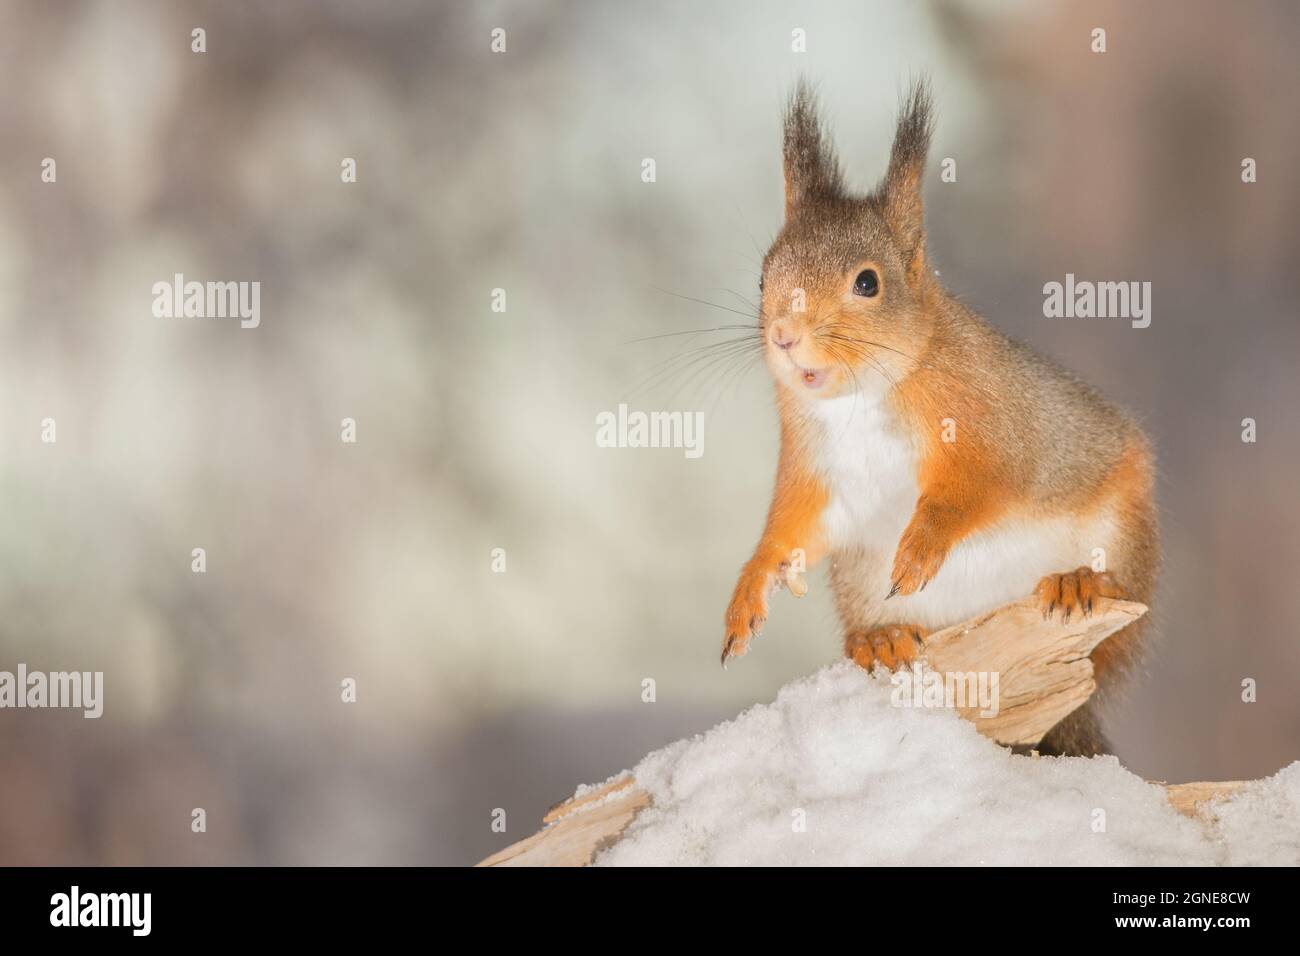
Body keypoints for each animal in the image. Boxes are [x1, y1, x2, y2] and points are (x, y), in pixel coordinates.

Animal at [720, 79, 1158, 757]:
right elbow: (795, 524)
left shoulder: (996, 424)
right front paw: (753, 584)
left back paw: (1082, 582)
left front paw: (923, 543)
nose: (784, 337)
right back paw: (881, 637)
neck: (864, 399)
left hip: (1123, 532)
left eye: (867, 283)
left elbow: (981, 486)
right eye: (764, 276)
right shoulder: (814, 466)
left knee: (1114, 629)